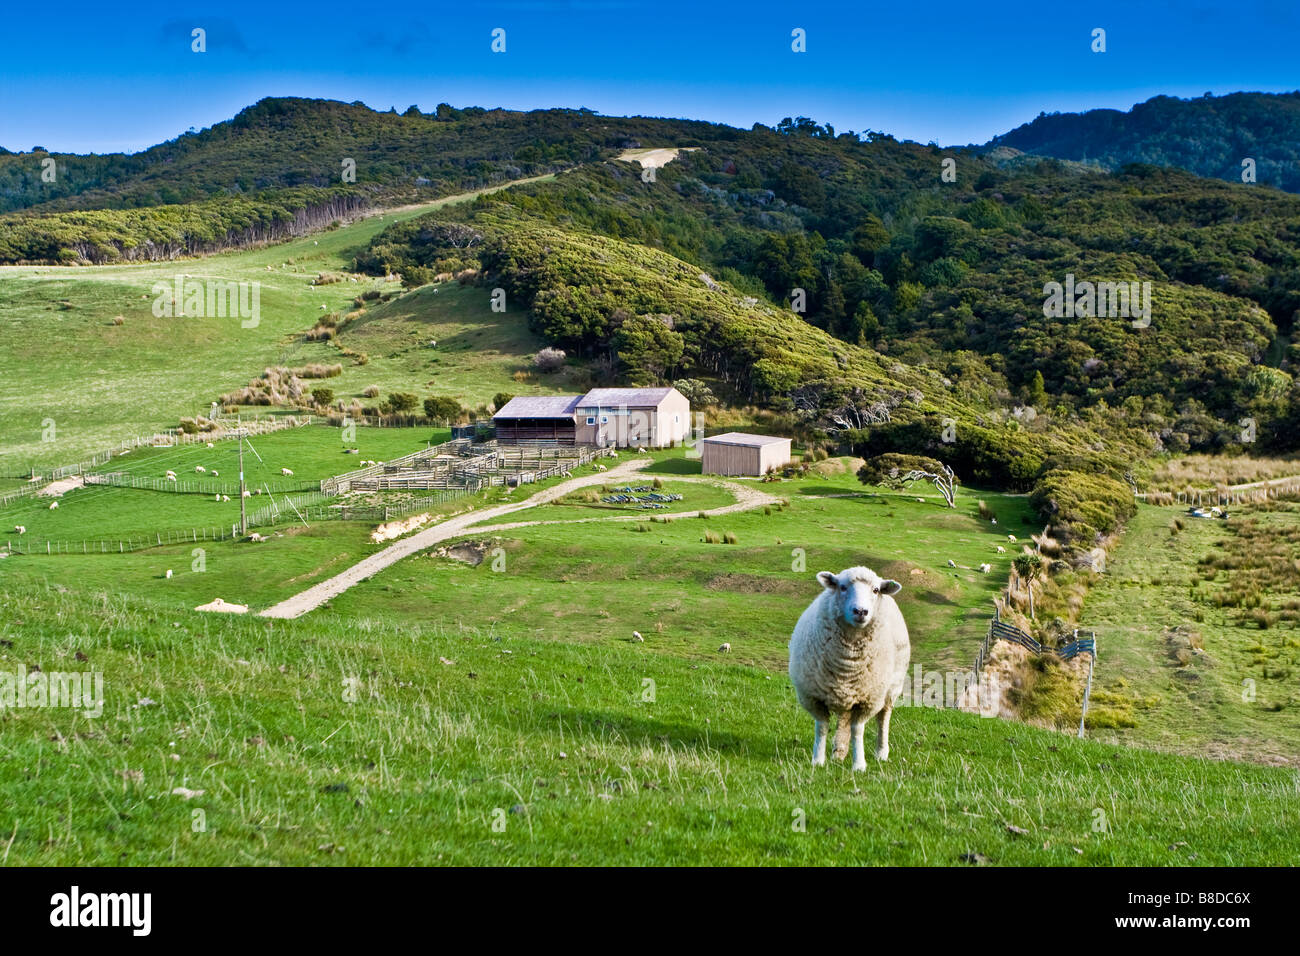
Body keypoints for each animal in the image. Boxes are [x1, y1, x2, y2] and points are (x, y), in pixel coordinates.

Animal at [788, 566, 910, 770]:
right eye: (842, 587)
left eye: (875, 590)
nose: (861, 611)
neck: (847, 664)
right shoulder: (813, 697)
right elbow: (822, 727)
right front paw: (817, 760)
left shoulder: (867, 700)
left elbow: (858, 730)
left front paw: (859, 764)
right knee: (843, 720)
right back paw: (839, 752)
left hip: (891, 688)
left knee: (883, 718)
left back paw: (881, 752)